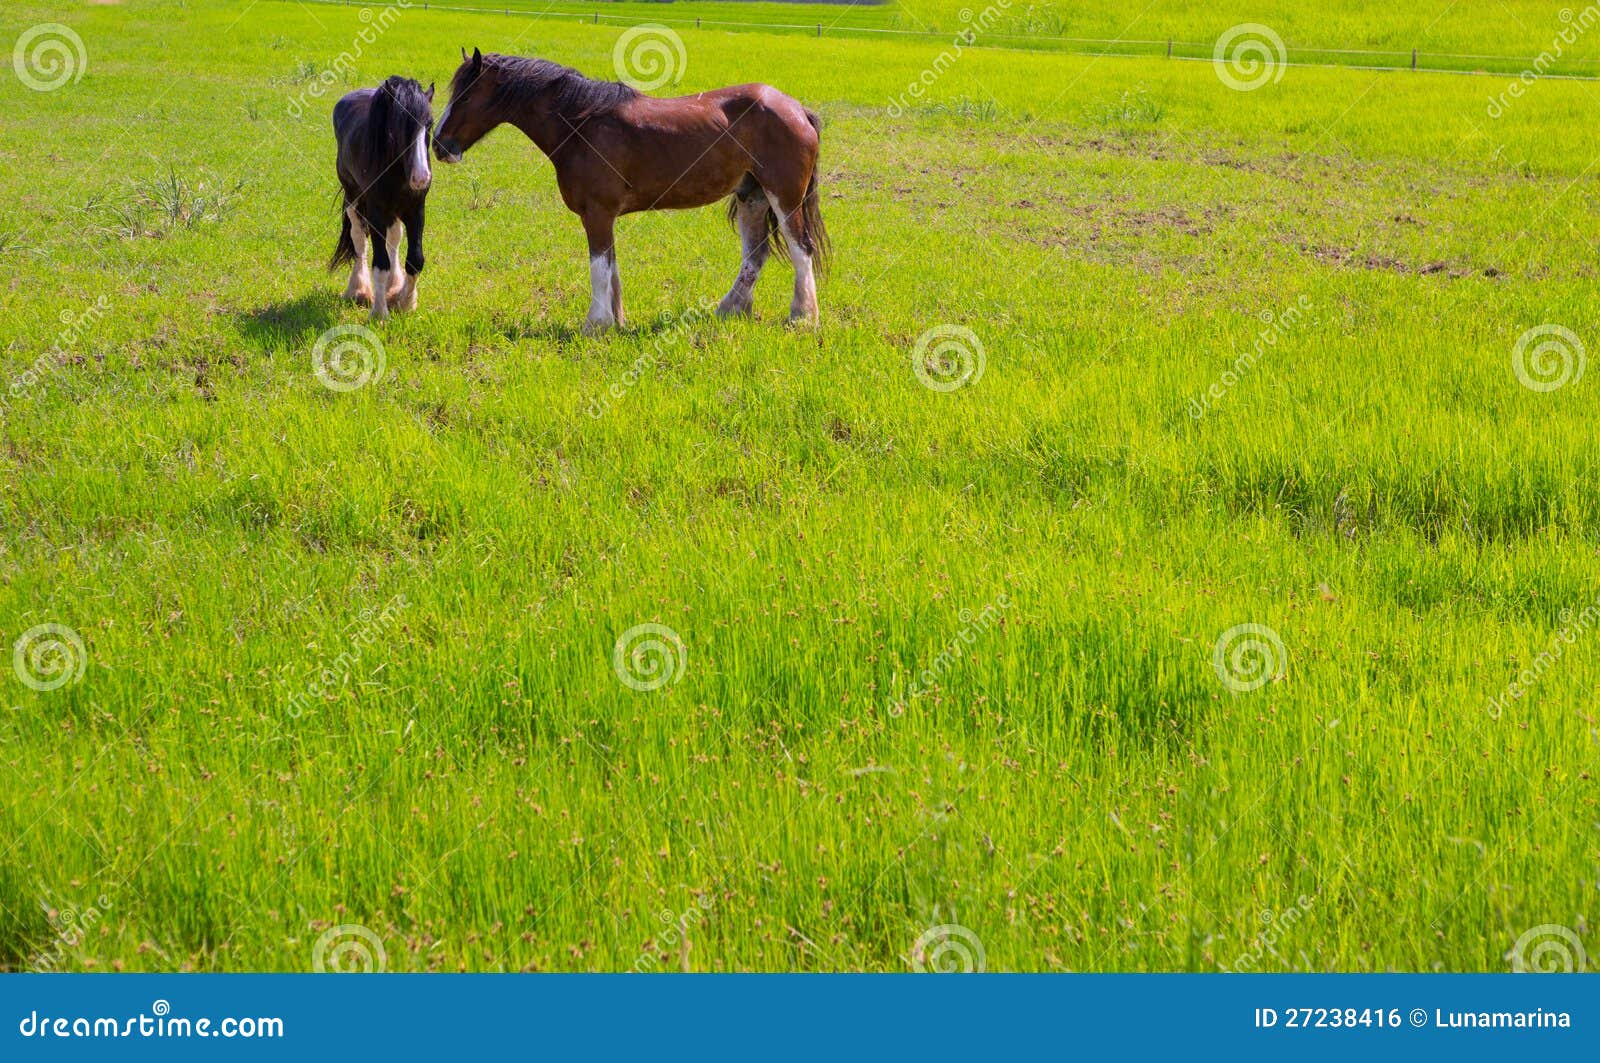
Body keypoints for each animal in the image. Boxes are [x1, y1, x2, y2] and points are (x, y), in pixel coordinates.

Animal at [329, 75, 435, 321]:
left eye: (430, 124)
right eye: (400, 124)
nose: (421, 177)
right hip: (353, 199)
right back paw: (357, 289)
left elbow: (415, 260)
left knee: (394, 238)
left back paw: (393, 286)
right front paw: (379, 312)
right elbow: (380, 264)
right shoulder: (376, 211)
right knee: (358, 239)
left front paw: (404, 302)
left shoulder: (415, 210)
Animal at [433, 48, 828, 333]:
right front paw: (617, 321)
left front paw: (596, 325)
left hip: (784, 198)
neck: (582, 125)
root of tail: (797, 109)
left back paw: (802, 318)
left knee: (801, 250)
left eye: (465, 96)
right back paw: (729, 311)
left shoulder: (596, 213)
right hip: (752, 197)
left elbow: (598, 267)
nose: (439, 145)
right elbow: (611, 268)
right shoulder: (603, 216)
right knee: (755, 255)